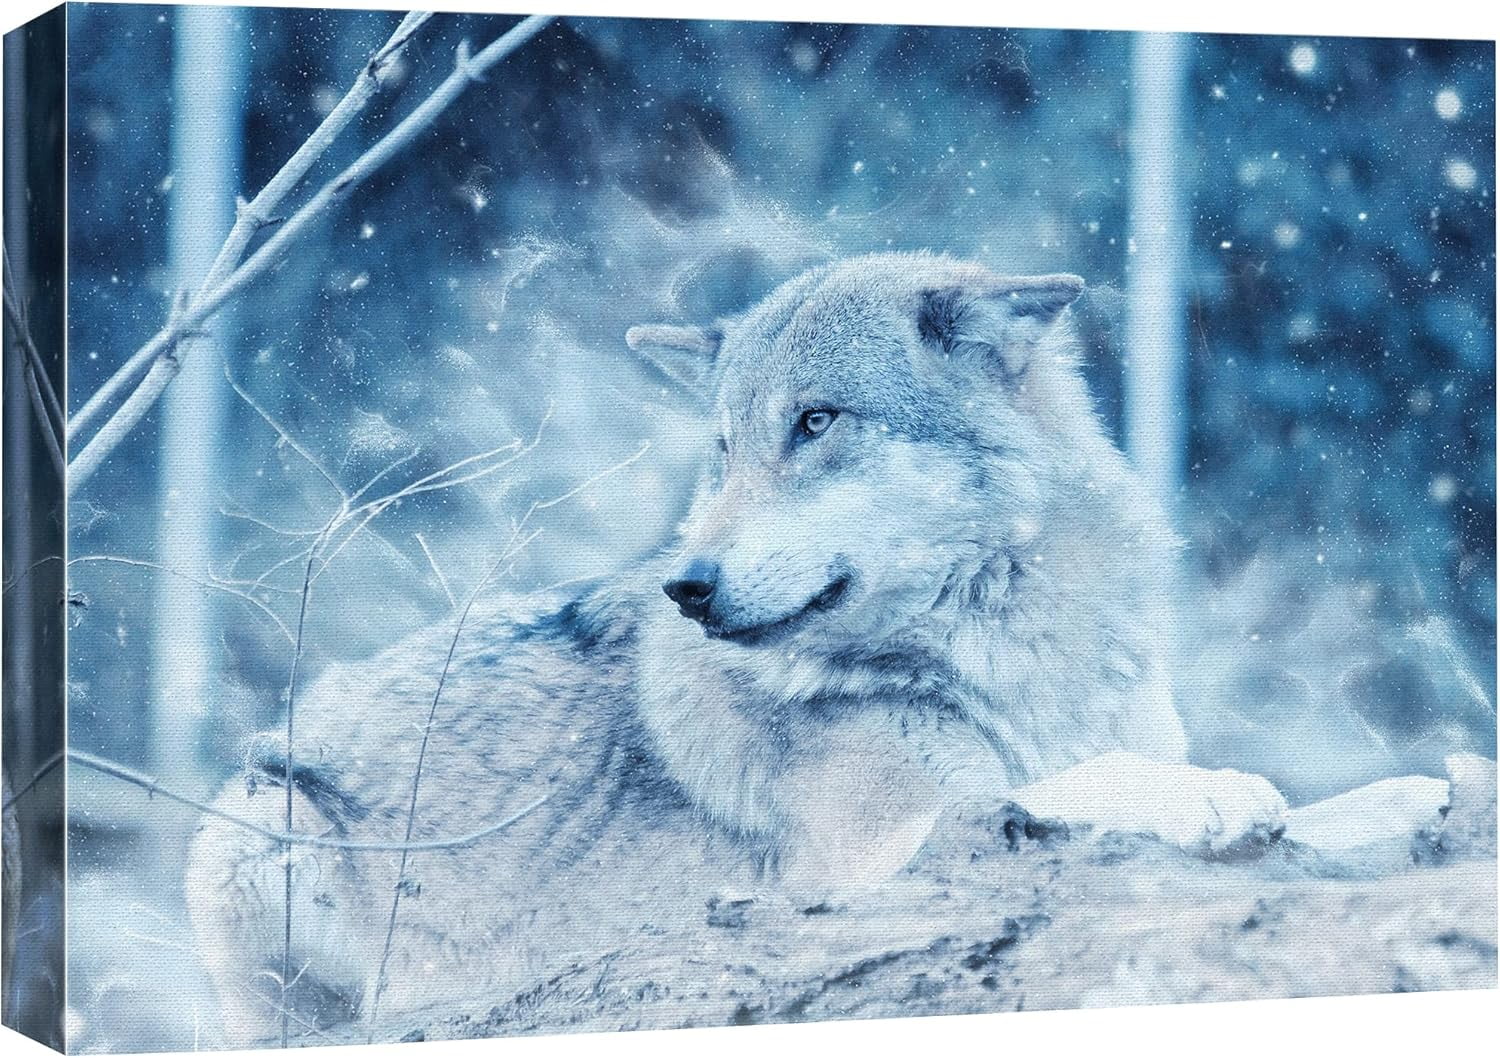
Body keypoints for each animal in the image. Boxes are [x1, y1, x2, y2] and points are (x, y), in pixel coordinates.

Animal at [185, 252, 1286, 1043]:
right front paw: (1219, 792)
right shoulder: (903, 837)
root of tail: (308, 705)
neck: (1015, 656)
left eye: (815, 421)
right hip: (259, 821)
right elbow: (1081, 781)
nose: (687, 586)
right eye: (721, 447)